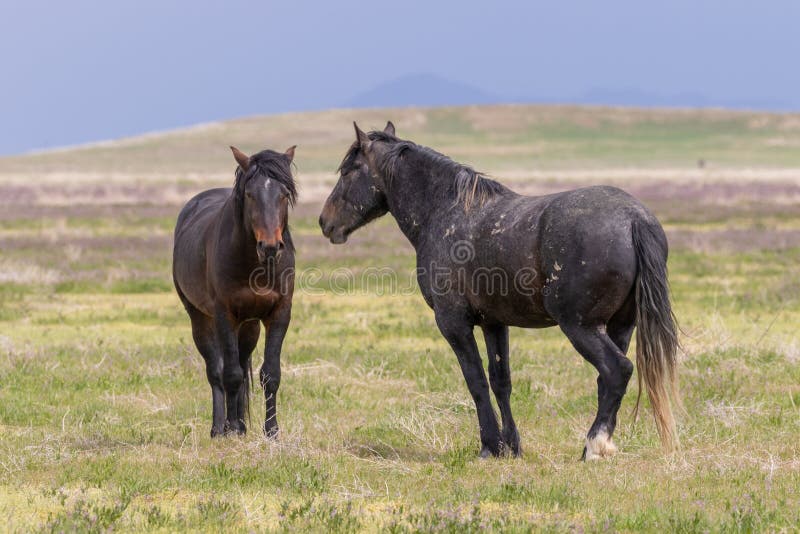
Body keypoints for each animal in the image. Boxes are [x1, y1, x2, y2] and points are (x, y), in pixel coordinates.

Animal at [173, 145, 296, 438]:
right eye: (250, 195)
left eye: (284, 194)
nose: (270, 246)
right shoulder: (224, 315)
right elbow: (230, 374)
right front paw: (231, 429)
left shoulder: (279, 313)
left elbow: (270, 374)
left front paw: (271, 431)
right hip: (200, 318)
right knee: (216, 370)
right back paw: (220, 426)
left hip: (249, 325)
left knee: (241, 363)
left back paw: (239, 422)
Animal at [319, 122, 680, 460]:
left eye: (348, 170)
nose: (325, 222)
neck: (445, 211)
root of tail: (634, 219)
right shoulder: (494, 323)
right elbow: (500, 381)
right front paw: (512, 446)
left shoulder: (454, 323)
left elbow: (476, 381)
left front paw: (490, 446)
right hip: (619, 326)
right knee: (606, 380)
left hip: (581, 327)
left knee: (616, 370)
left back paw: (594, 446)